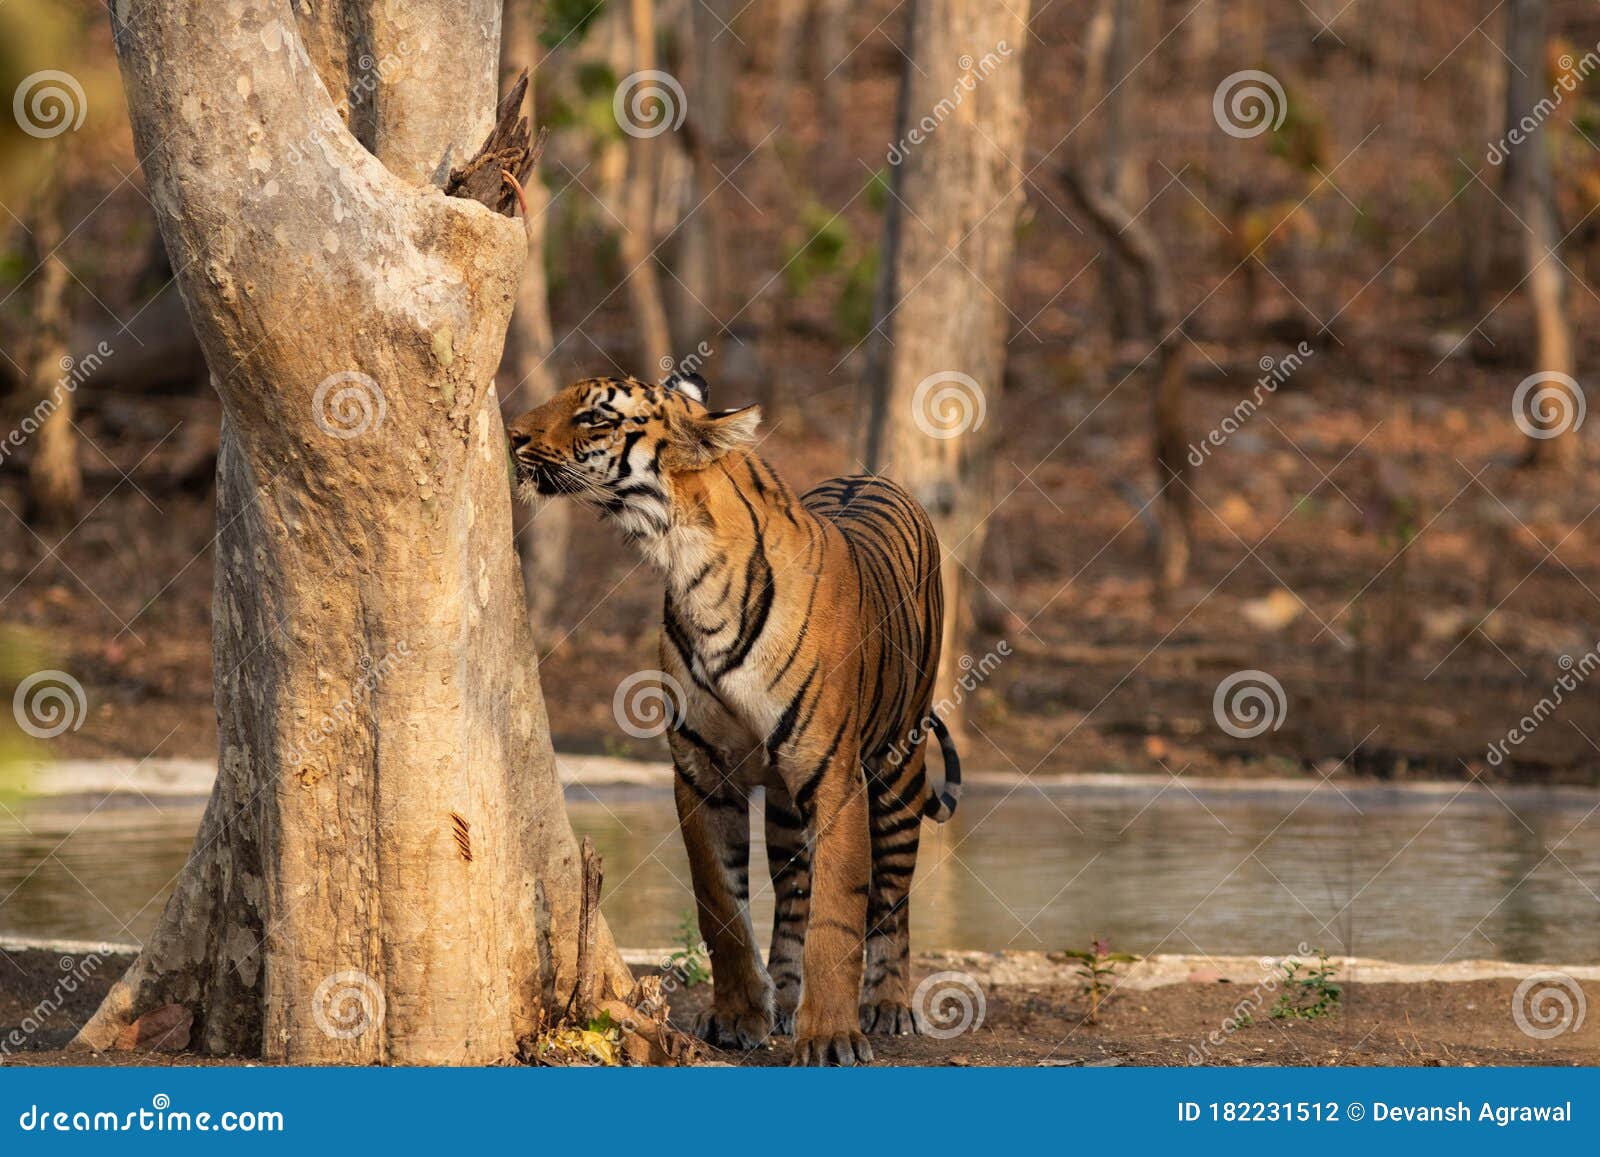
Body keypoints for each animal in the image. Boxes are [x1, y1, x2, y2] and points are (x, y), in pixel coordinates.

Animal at [506, 372, 961, 1066]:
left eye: (594, 417)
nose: (511, 435)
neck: (687, 561)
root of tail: (871, 477)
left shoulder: (835, 778)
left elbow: (839, 914)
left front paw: (830, 1037)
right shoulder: (701, 772)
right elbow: (722, 904)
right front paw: (740, 1016)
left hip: (898, 765)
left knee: (891, 894)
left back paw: (886, 1006)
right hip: (785, 805)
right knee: (793, 895)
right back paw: (786, 1002)